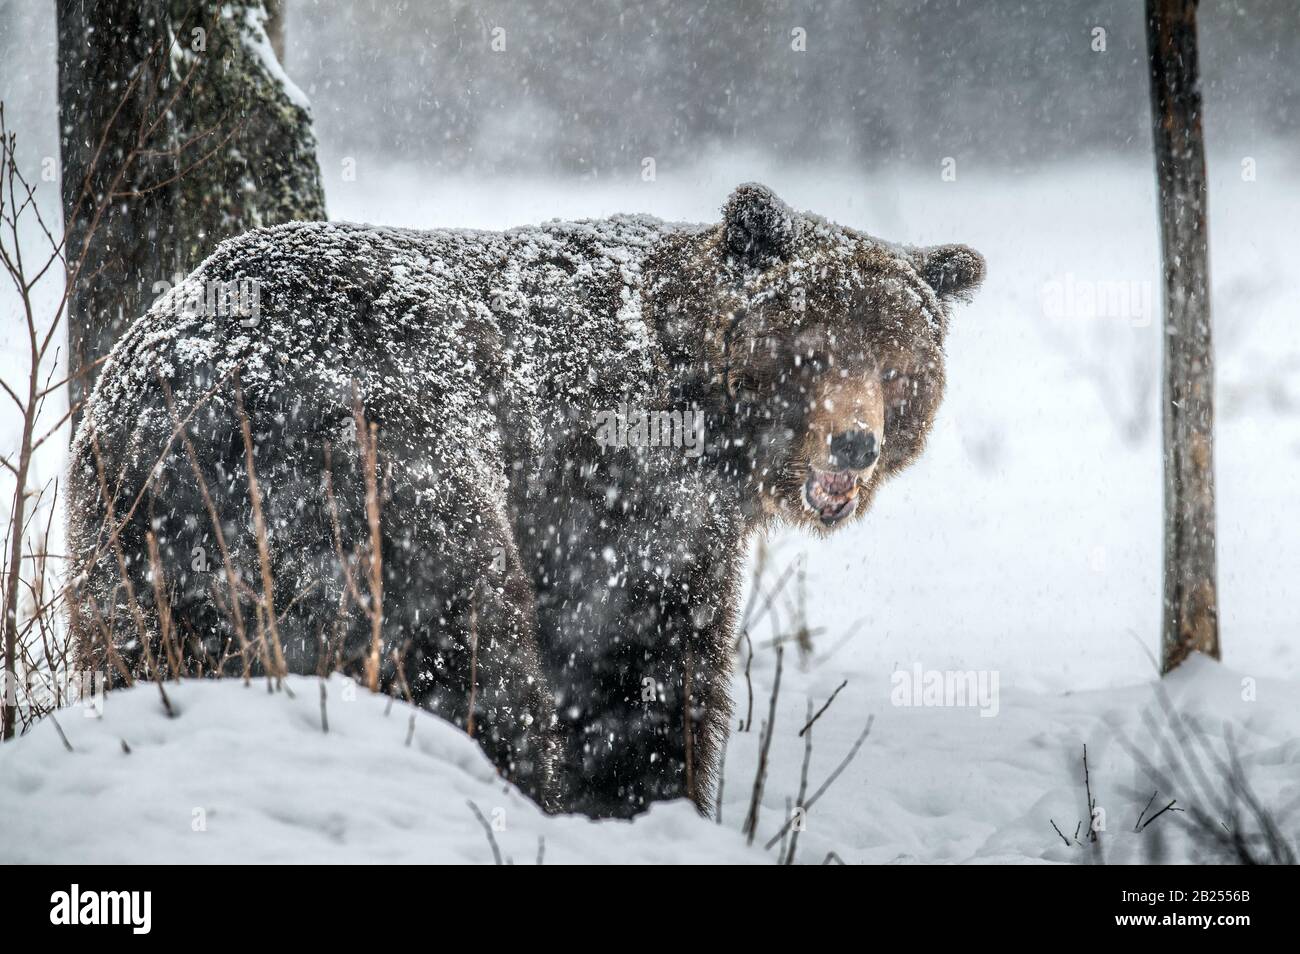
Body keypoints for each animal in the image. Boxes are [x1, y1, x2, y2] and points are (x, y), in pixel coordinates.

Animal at [66, 183, 984, 818]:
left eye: (898, 365)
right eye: (812, 349)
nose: (855, 444)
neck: (708, 422)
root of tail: (199, 395)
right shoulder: (618, 502)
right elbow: (641, 670)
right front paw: (656, 799)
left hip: (131, 538)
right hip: (383, 468)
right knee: (472, 645)